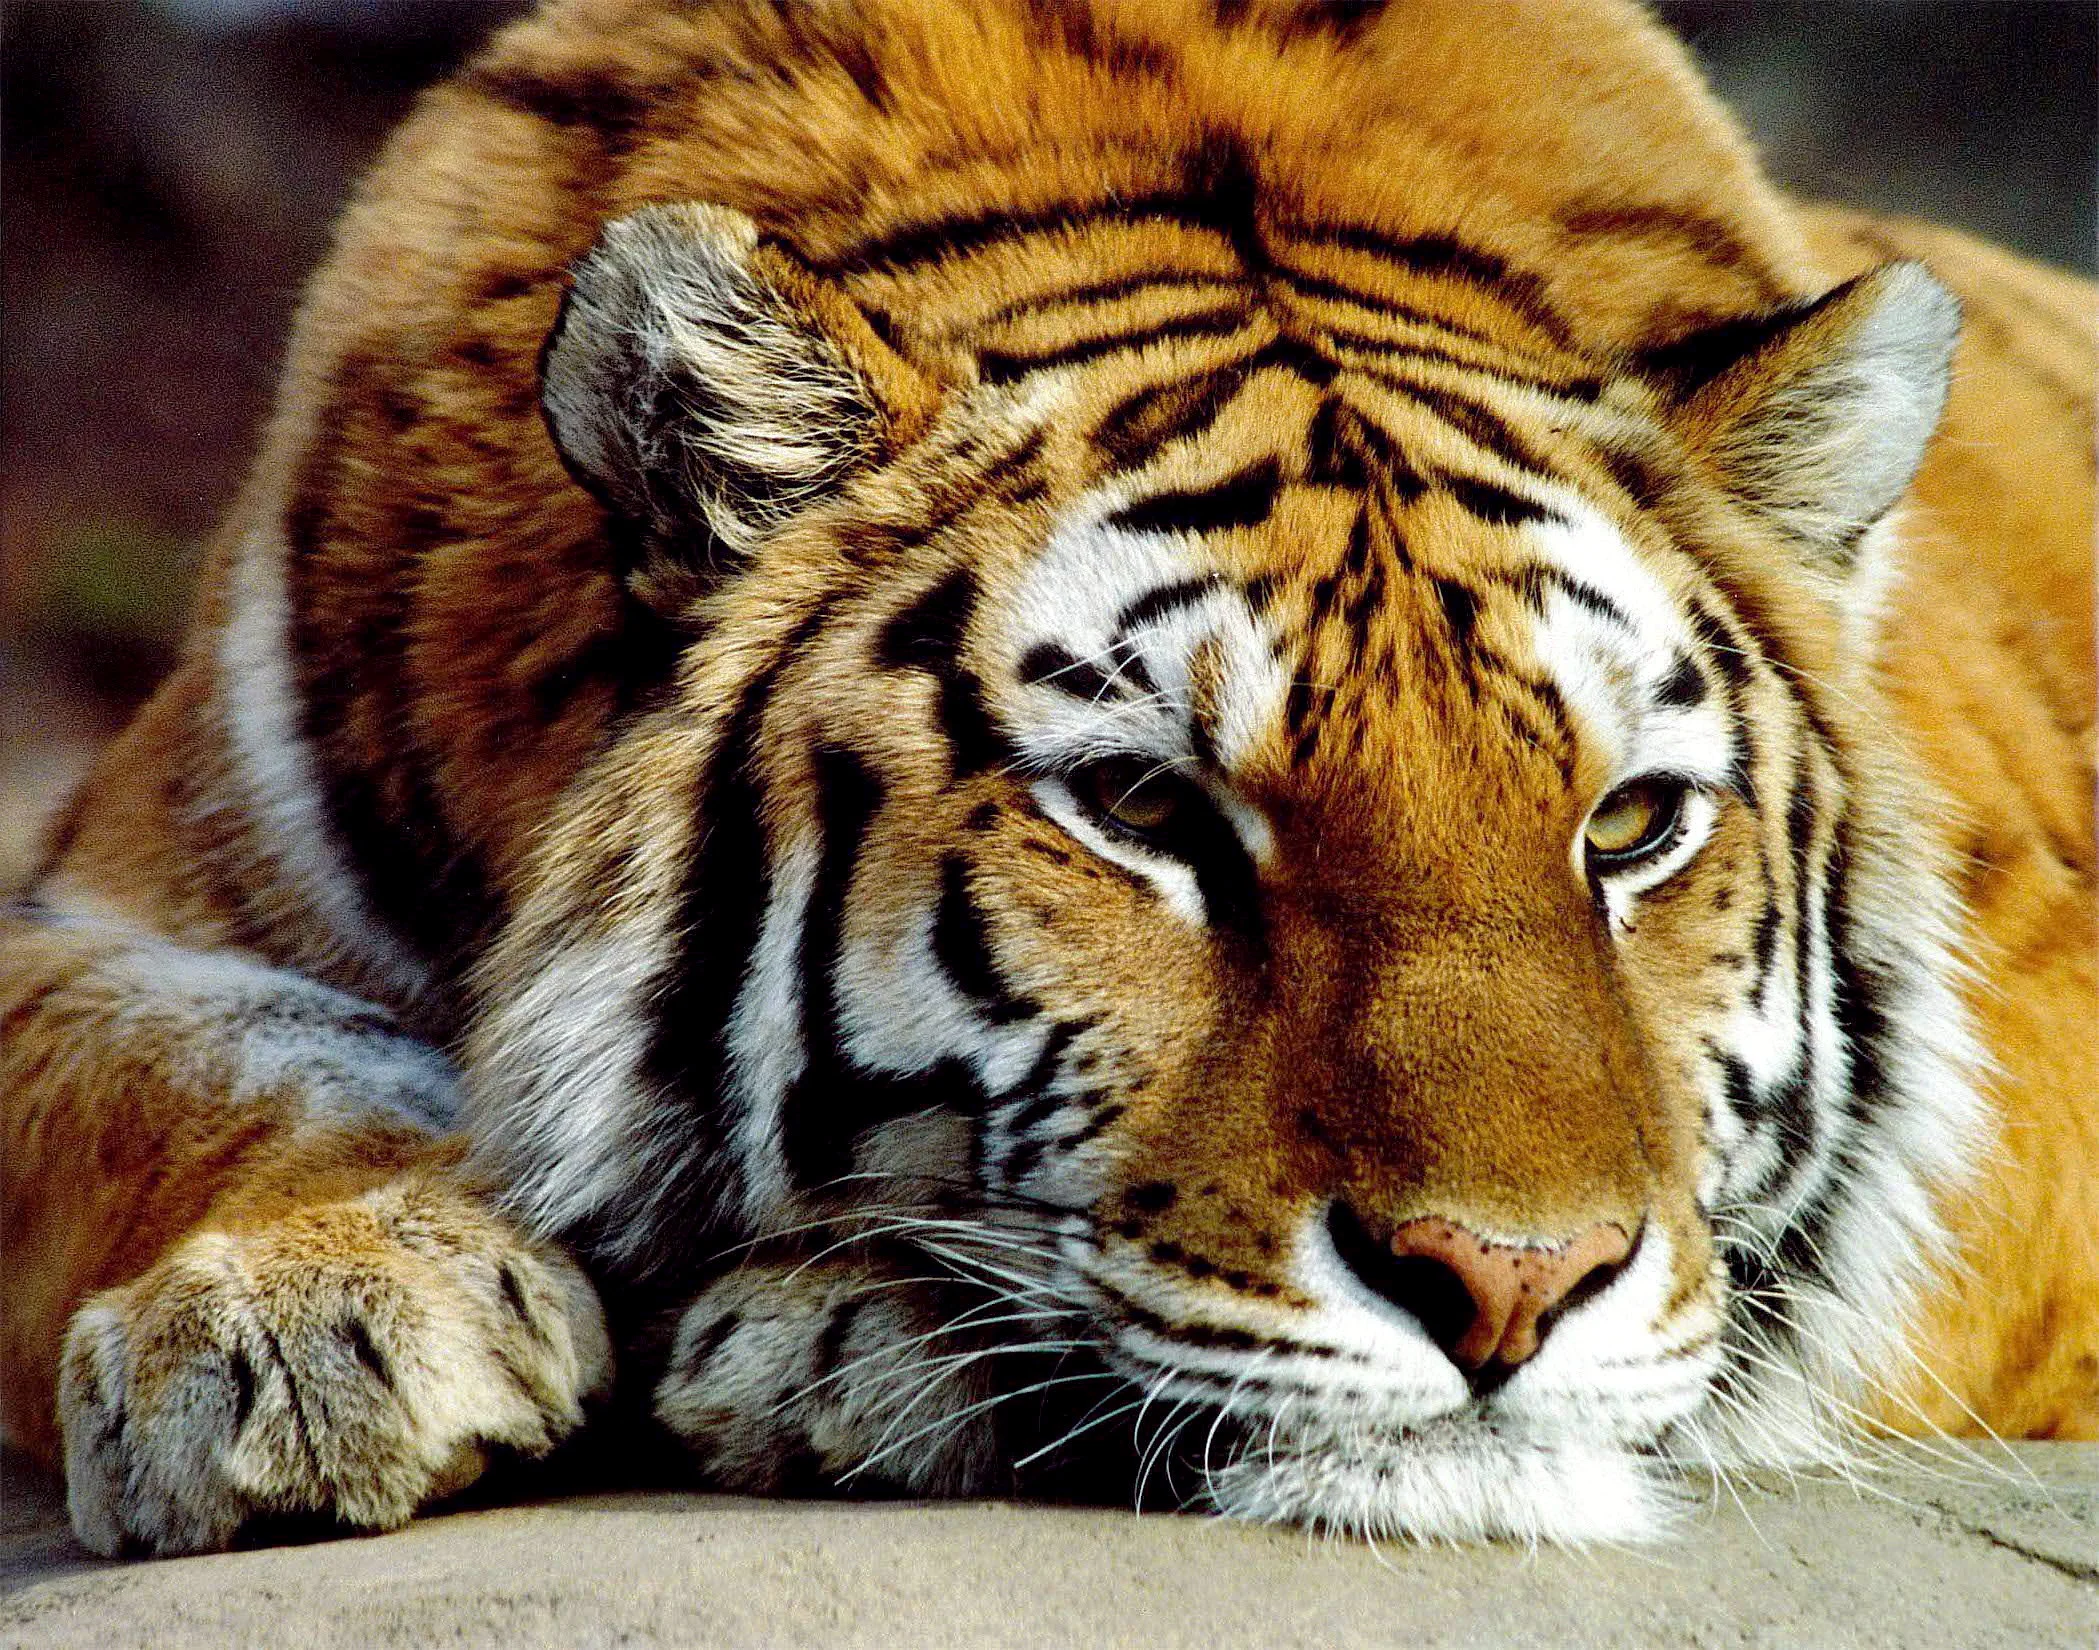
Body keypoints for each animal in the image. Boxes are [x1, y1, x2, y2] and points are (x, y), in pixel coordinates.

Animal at [3, 0, 2092, 1559]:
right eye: (1146, 811)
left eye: (1627, 826)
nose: (1512, 1283)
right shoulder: (113, 889)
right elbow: (194, 1066)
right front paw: (289, 1328)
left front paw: (865, 1329)